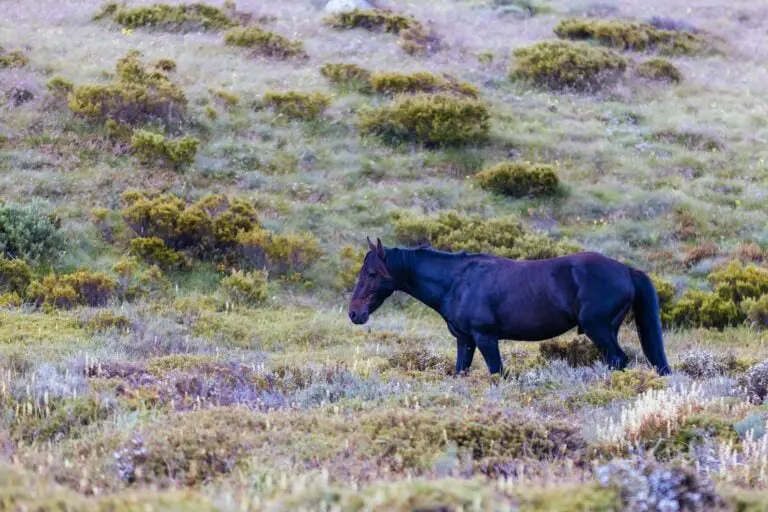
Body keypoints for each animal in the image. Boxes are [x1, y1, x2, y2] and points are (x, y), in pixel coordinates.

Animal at [348, 238, 671, 377]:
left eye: (373, 274)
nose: (354, 313)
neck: (457, 280)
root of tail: (626, 270)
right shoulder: (465, 341)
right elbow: (460, 372)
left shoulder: (485, 338)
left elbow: (496, 372)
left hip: (599, 329)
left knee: (618, 359)